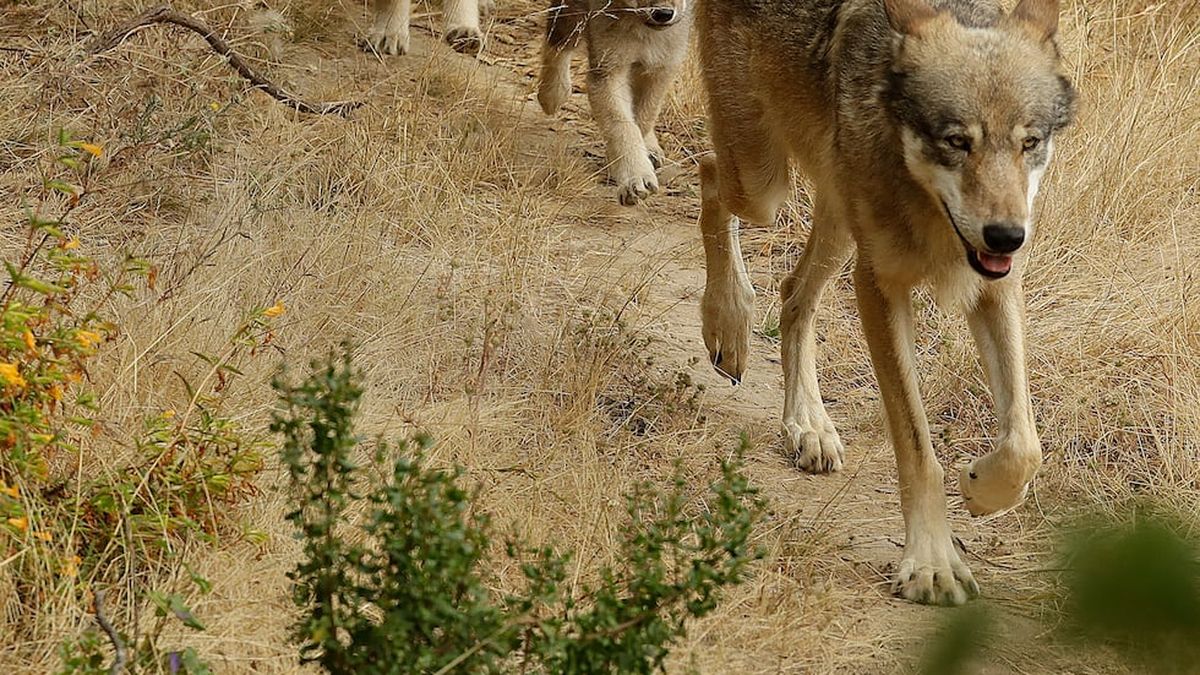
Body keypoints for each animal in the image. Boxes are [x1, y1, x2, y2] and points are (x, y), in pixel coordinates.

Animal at [537, 0, 692, 205]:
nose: (663, 14)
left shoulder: (661, 68)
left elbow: (643, 119)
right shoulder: (609, 70)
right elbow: (623, 126)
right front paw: (634, 175)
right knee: (558, 38)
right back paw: (552, 93)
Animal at [695, 0, 1075, 604]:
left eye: (1029, 142)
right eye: (957, 141)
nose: (1006, 236)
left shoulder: (996, 285)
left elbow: (1024, 445)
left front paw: (981, 491)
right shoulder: (880, 286)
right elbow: (918, 448)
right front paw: (932, 565)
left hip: (834, 220)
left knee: (793, 295)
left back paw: (808, 426)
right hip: (764, 186)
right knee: (709, 174)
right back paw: (728, 323)